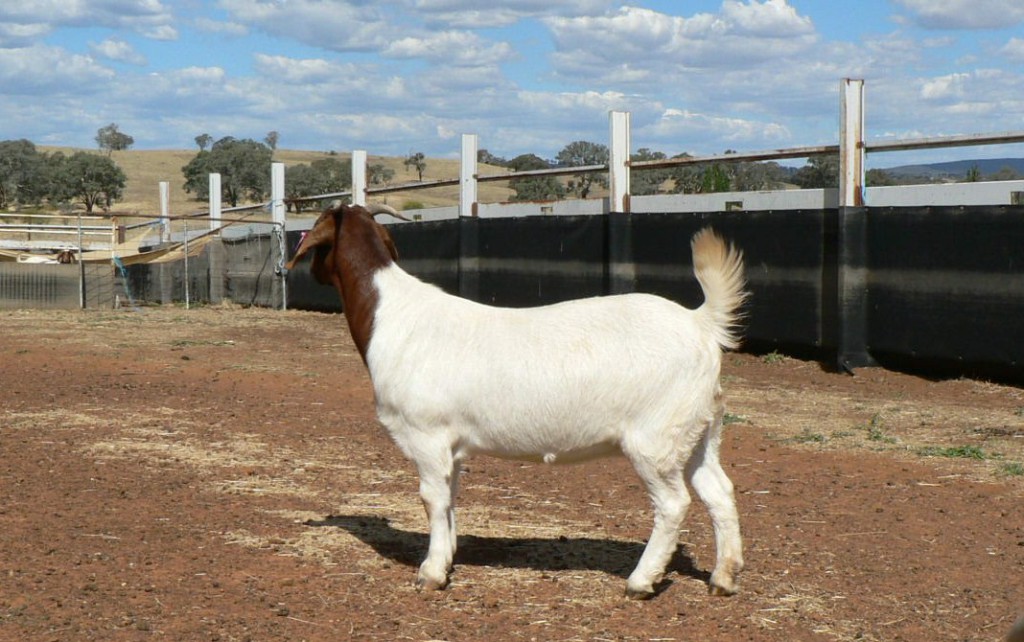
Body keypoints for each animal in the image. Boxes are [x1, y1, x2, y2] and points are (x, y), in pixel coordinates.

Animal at [286, 203, 748, 598]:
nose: (303, 270)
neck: (392, 314)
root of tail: (700, 323)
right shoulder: (452, 444)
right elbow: (450, 497)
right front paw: (448, 557)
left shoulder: (427, 435)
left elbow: (432, 499)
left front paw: (431, 573)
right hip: (698, 428)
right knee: (718, 490)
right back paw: (723, 577)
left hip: (655, 437)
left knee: (673, 503)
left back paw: (641, 581)